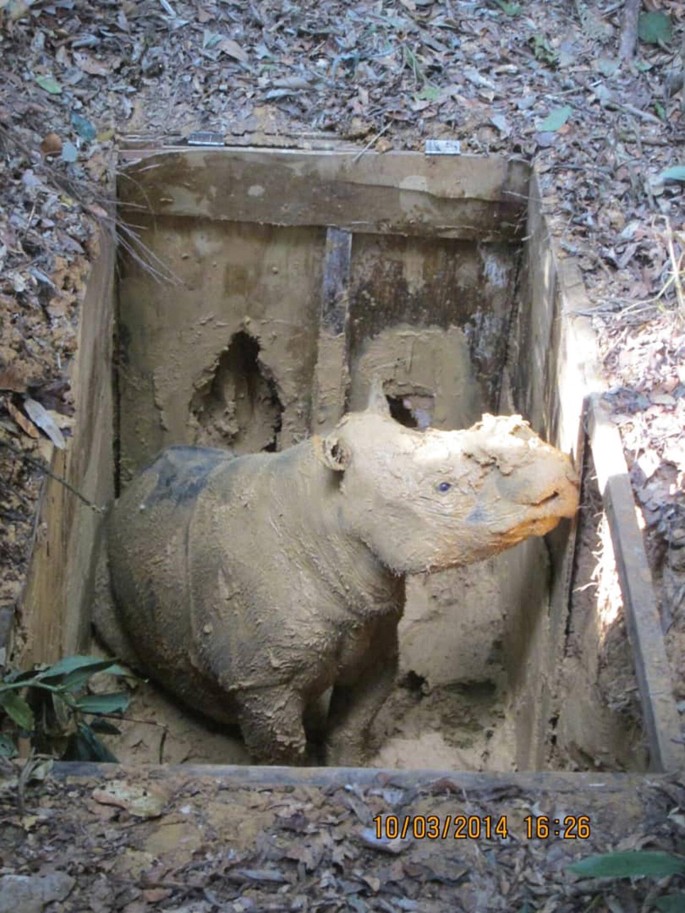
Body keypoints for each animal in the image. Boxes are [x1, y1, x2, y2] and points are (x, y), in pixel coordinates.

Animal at [94, 387, 578, 766]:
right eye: (443, 488)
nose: (563, 480)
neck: (329, 515)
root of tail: (133, 485)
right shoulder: (260, 681)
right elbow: (282, 748)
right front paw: (296, 771)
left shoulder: (374, 628)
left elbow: (354, 723)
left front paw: (349, 764)